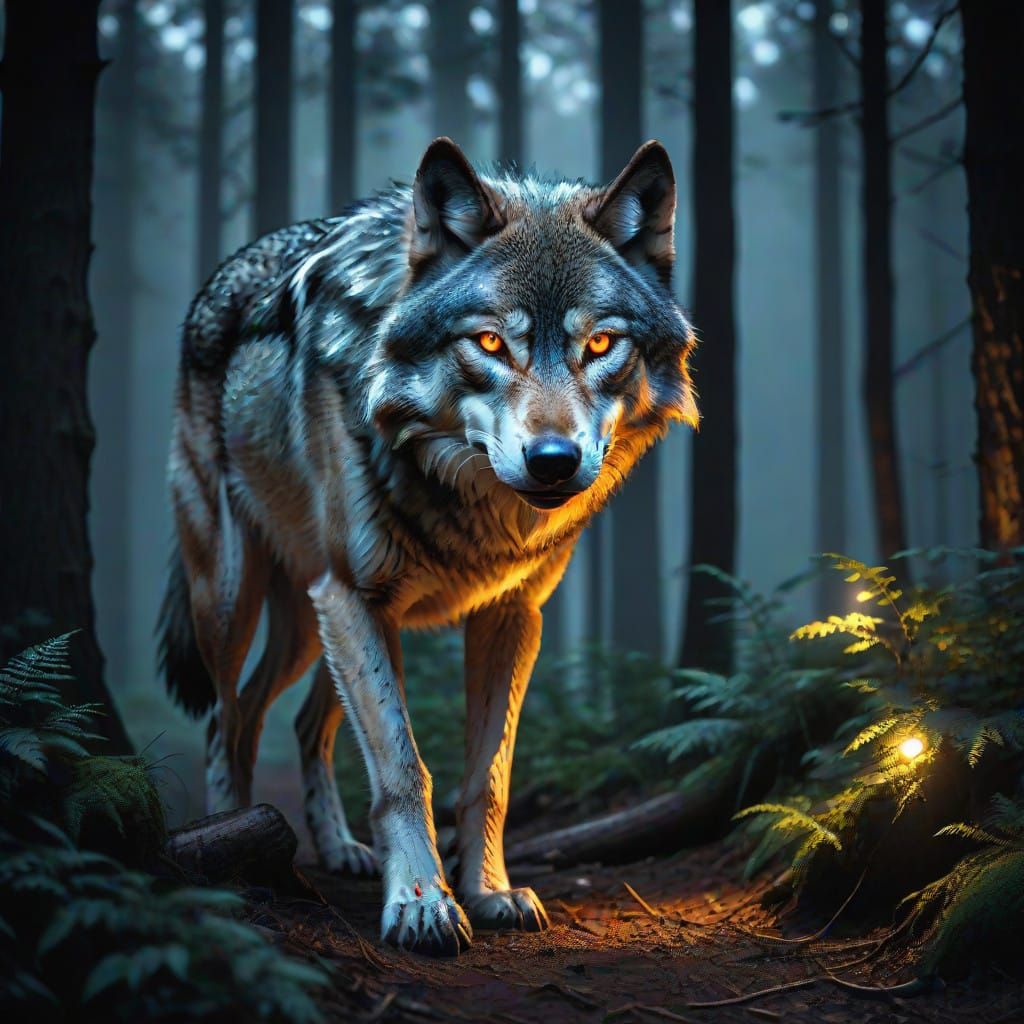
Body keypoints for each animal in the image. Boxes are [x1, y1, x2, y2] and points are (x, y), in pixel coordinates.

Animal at [159, 137, 697, 956]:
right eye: (490, 342)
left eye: (601, 343)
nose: (553, 461)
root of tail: (225, 271)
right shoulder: (353, 597)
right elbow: (403, 769)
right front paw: (420, 902)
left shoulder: (509, 615)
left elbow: (489, 777)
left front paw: (490, 891)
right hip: (240, 599)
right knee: (228, 721)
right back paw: (229, 849)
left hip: (316, 628)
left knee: (293, 722)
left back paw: (337, 848)